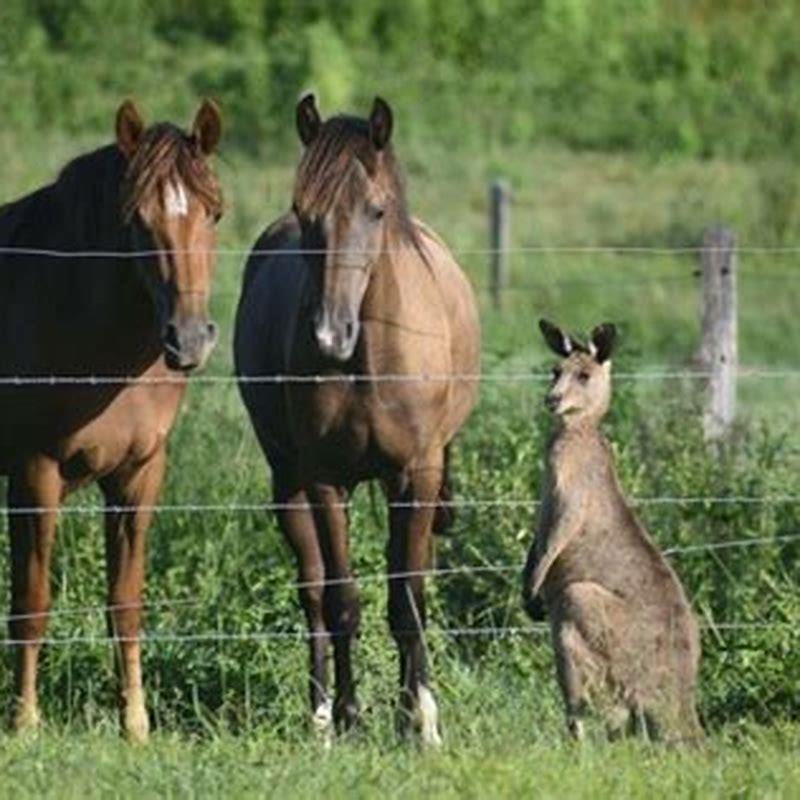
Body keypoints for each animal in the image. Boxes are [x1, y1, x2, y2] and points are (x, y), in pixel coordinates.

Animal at [0, 99, 223, 741]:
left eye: (215, 213)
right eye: (137, 219)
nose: (189, 339)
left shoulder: (138, 476)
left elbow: (126, 602)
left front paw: (136, 723)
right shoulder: (34, 473)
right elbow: (31, 603)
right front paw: (24, 721)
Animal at [234, 95, 480, 745]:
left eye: (376, 211)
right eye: (305, 211)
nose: (328, 336)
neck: (369, 359)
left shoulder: (416, 475)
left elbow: (409, 598)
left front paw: (421, 718)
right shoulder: (325, 480)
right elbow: (342, 599)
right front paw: (348, 716)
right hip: (288, 483)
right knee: (314, 591)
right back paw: (320, 714)